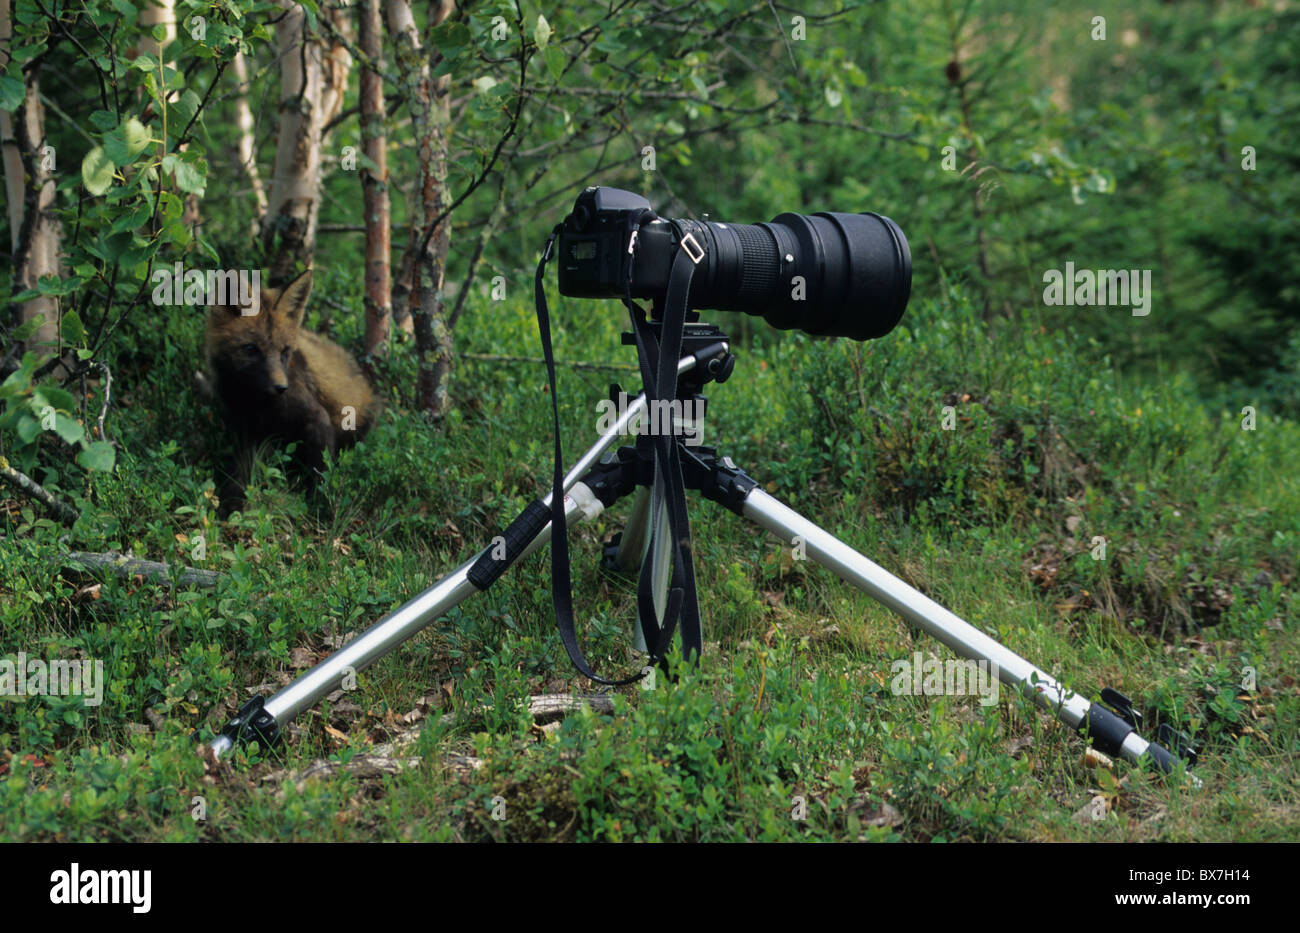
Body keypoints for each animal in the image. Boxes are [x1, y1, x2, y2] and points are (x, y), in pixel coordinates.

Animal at [203, 269, 378, 517]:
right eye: (251, 349)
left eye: (284, 351)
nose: (281, 387)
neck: (253, 401)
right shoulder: (248, 431)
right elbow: (238, 474)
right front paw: (230, 507)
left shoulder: (316, 419)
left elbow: (320, 474)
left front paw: (319, 512)